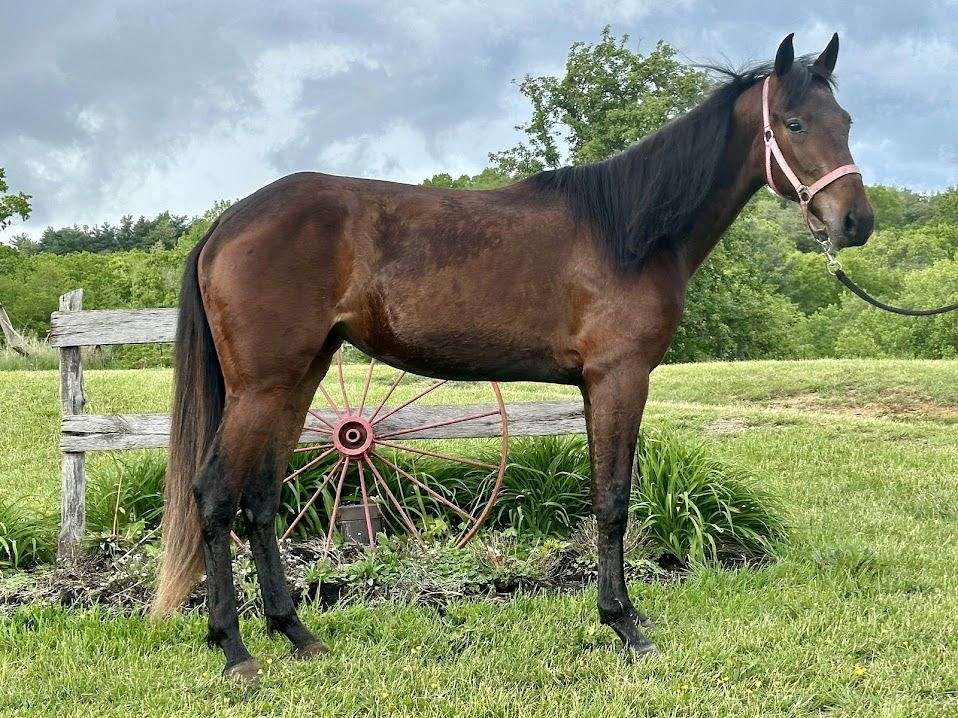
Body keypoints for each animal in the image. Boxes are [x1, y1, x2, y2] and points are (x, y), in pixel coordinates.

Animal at [150, 32, 874, 679]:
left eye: (845, 121)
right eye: (794, 122)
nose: (856, 222)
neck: (629, 230)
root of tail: (226, 224)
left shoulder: (595, 385)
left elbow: (604, 497)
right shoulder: (618, 378)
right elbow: (613, 501)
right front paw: (626, 627)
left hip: (300, 379)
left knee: (261, 500)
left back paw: (296, 633)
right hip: (262, 388)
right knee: (216, 495)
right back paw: (235, 650)